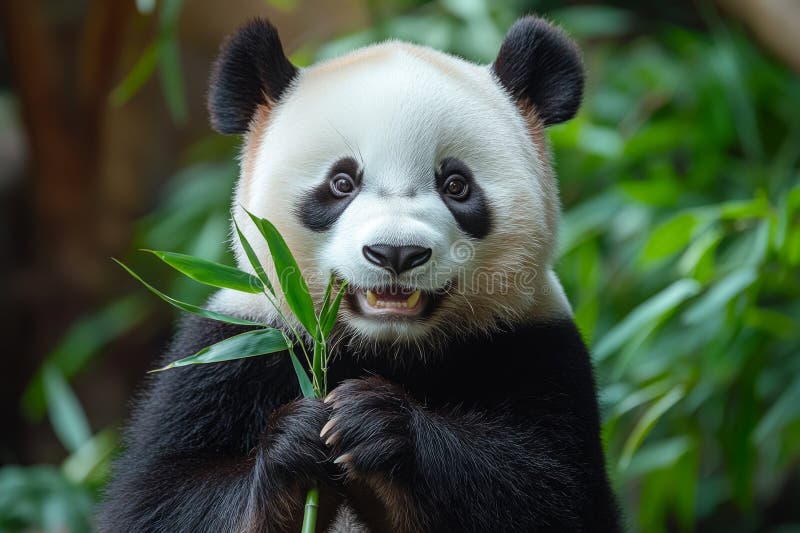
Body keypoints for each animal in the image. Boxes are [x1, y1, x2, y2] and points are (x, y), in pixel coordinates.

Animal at [99, 15, 622, 533]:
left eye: (456, 184)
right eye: (341, 183)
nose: (396, 252)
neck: (383, 347)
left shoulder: (535, 345)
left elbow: (549, 493)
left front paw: (374, 424)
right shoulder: (231, 352)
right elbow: (158, 501)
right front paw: (296, 442)